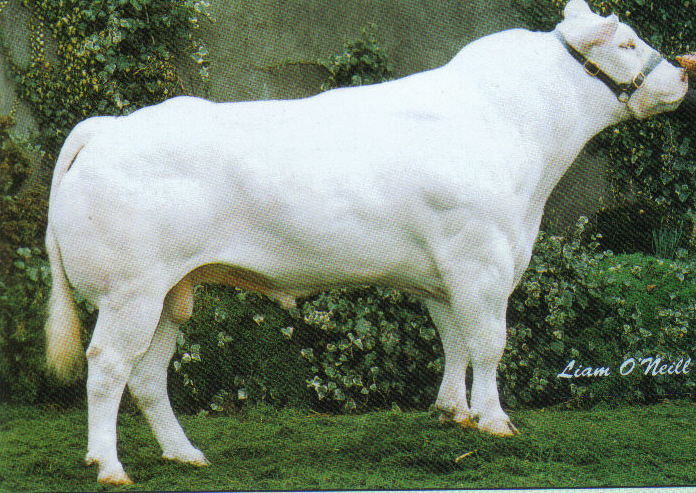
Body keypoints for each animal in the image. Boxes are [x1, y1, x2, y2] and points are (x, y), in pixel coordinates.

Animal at [43, 0, 687, 484]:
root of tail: (111, 126)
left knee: (149, 376)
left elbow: (453, 341)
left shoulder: (443, 274)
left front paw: (454, 413)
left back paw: (185, 454)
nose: (685, 67)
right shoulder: (482, 261)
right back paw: (110, 467)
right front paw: (495, 420)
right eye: (626, 44)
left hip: (170, 292)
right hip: (130, 291)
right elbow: (488, 343)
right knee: (108, 367)